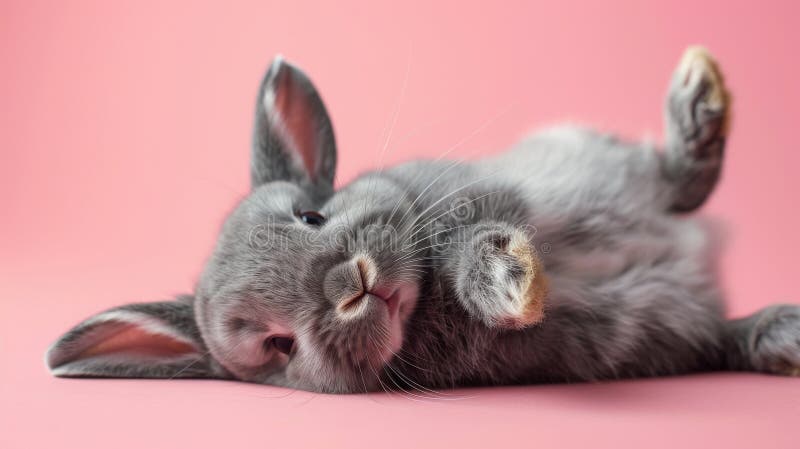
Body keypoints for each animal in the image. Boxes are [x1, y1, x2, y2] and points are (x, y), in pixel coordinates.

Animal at [46, 46, 800, 393]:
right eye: (275, 345)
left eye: (312, 214)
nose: (348, 287)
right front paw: (516, 277)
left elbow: (470, 245)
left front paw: (509, 268)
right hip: (681, 326)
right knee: (726, 329)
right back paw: (781, 334)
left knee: (679, 178)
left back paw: (700, 98)